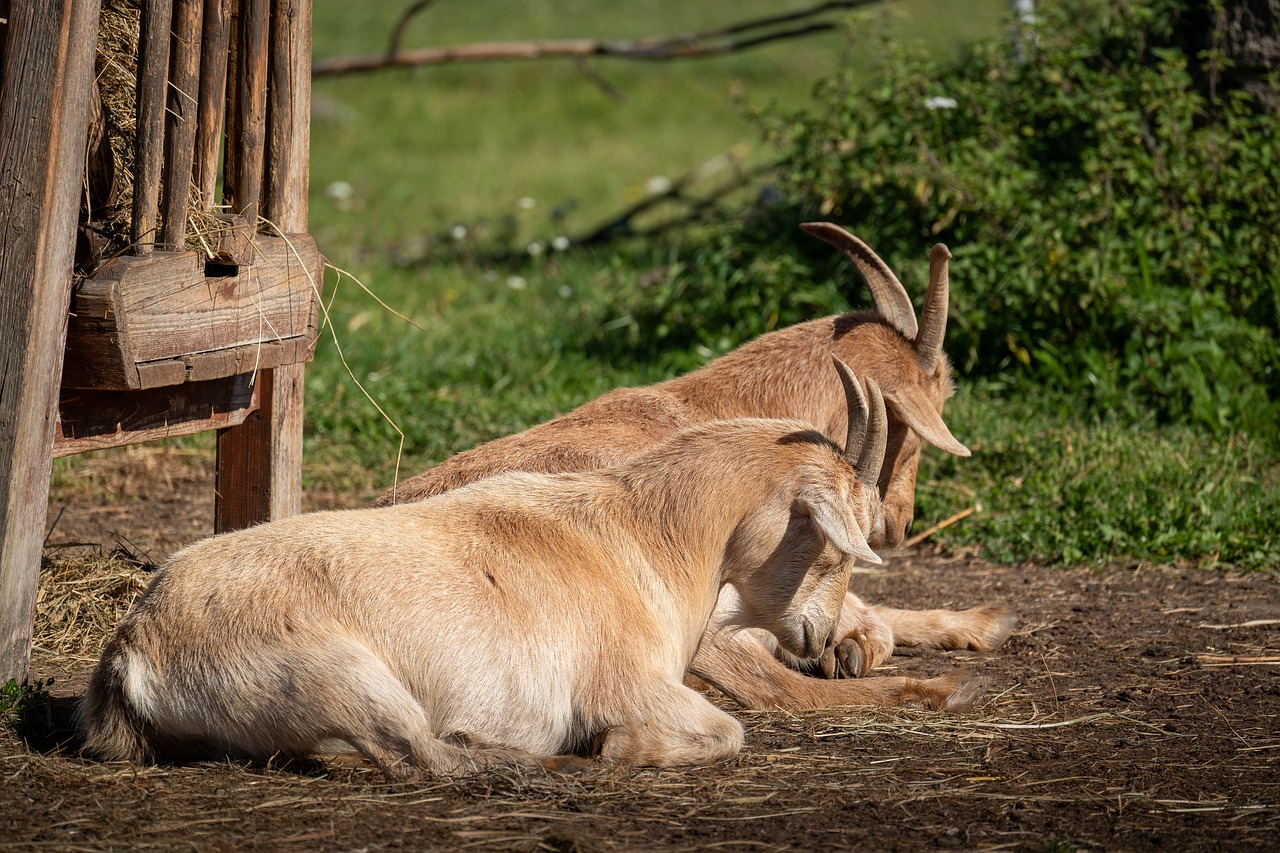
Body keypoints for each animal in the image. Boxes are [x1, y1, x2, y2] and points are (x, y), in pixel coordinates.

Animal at [81, 360, 973, 776]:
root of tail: (133, 644)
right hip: (342, 675)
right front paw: (617, 746)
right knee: (420, 754)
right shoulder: (631, 682)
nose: (821, 636)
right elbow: (728, 730)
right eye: (833, 543)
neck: (641, 539)